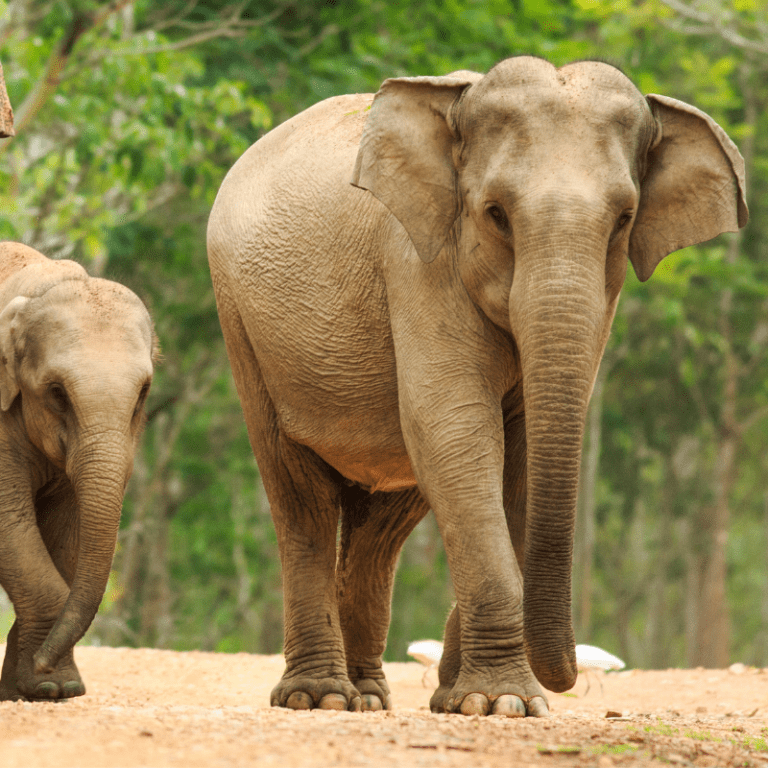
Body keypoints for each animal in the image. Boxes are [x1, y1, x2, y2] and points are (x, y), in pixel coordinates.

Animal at [0, 242, 156, 701]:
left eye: (143, 394)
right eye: (57, 392)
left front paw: (44, 688)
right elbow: (11, 523)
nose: (43, 661)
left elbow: (69, 531)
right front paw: (54, 685)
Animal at [207, 56, 747, 717]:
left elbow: (517, 451)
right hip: (241, 324)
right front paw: (499, 702)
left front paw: (467, 699)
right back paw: (321, 698)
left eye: (624, 219)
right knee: (299, 493)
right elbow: (454, 425)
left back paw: (369, 697)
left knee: (384, 522)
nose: (570, 674)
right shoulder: (416, 260)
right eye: (496, 214)